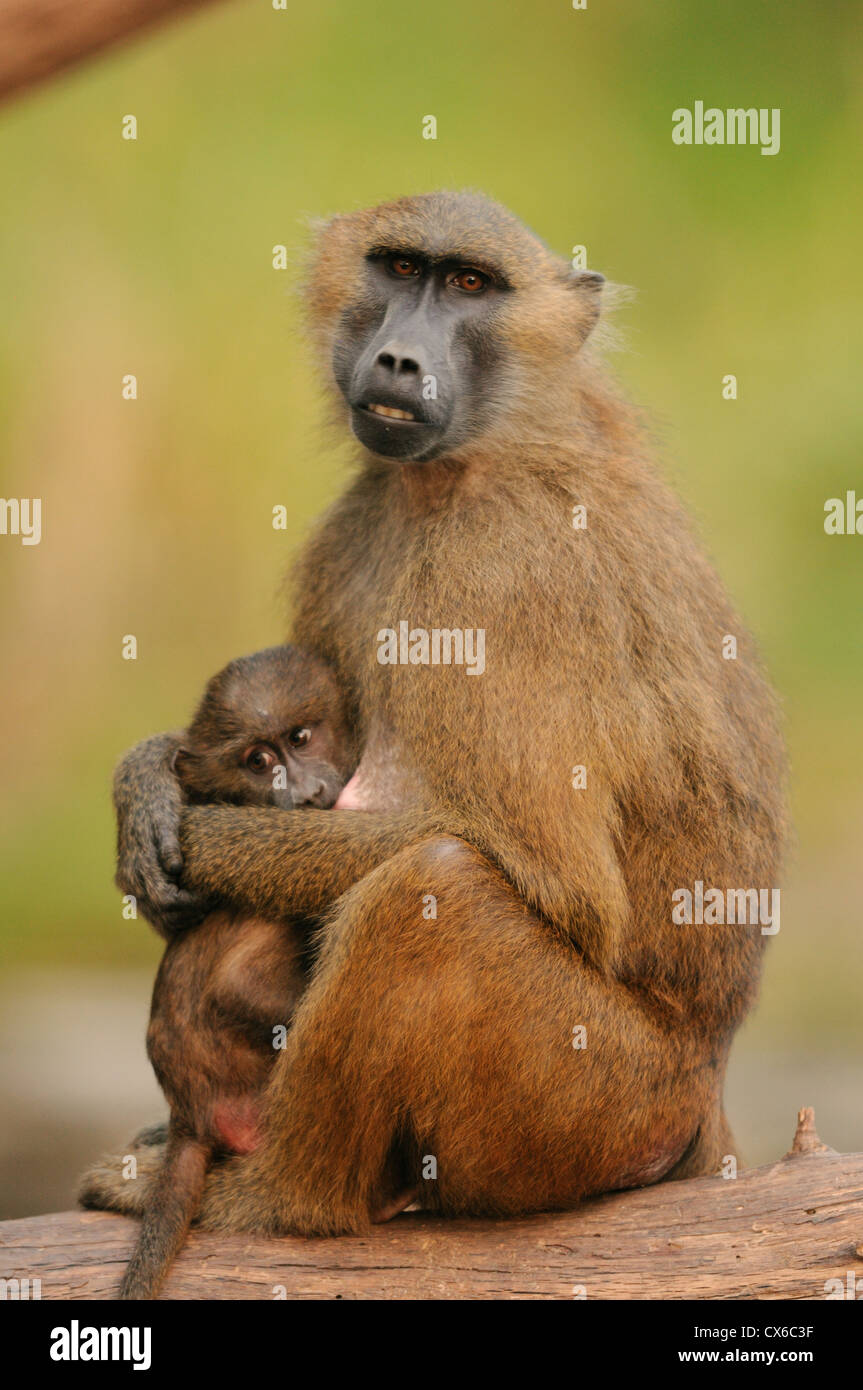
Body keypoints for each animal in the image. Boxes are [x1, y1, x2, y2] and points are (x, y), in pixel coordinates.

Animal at [118, 644, 354, 1299]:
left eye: (300, 738)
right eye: (258, 762)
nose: (305, 792)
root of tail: (189, 1114)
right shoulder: (269, 911)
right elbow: (235, 989)